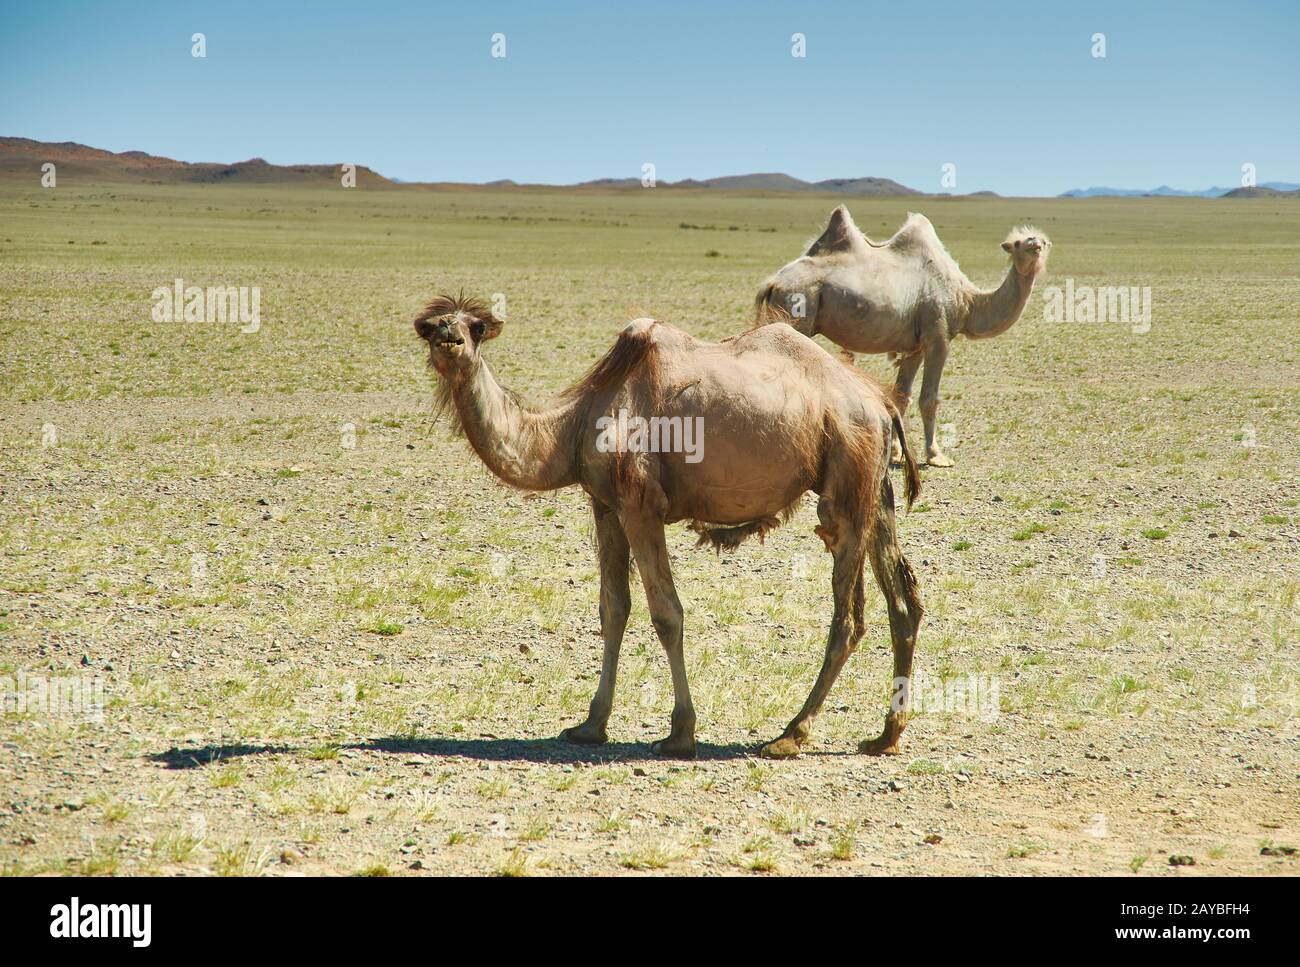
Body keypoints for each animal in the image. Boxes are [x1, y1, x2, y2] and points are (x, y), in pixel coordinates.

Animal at [415, 293, 924, 759]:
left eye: (477, 327)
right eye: (431, 325)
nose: (449, 336)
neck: (573, 428)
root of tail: (882, 404)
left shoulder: (641, 503)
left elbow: (666, 614)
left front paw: (680, 733)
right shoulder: (605, 504)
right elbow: (613, 608)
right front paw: (590, 725)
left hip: (847, 475)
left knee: (850, 615)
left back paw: (790, 735)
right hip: (874, 488)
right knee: (903, 601)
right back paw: (885, 736)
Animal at [756, 206, 1051, 467]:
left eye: (1044, 241)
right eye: (1017, 242)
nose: (1035, 243)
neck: (967, 301)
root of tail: (772, 283)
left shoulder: (915, 346)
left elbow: (901, 396)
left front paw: (896, 453)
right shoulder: (938, 336)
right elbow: (929, 399)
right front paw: (936, 456)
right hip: (798, 309)